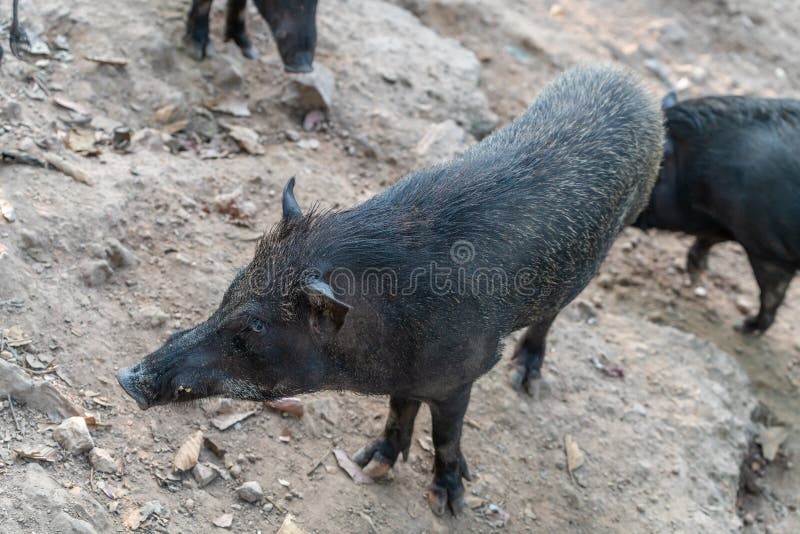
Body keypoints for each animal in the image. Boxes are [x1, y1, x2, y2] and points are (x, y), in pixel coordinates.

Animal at [118, 66, 663, 515]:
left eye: (253, 328)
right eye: (231, 287)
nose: (127, 378)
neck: (380, 334)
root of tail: (631, 83)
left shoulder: (460, 374)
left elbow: (446, 436)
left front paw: (447, 505)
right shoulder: (408, 376)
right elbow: (400, 409)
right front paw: (370, 464)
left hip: (608, 244)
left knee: (552, 316)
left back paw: (524, 379)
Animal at [634, 92, 800, 333]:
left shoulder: (770, 251)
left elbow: (770, 295)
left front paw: (745, 326)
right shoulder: (723, 224)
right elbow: (705, 241)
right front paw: (695, 277)